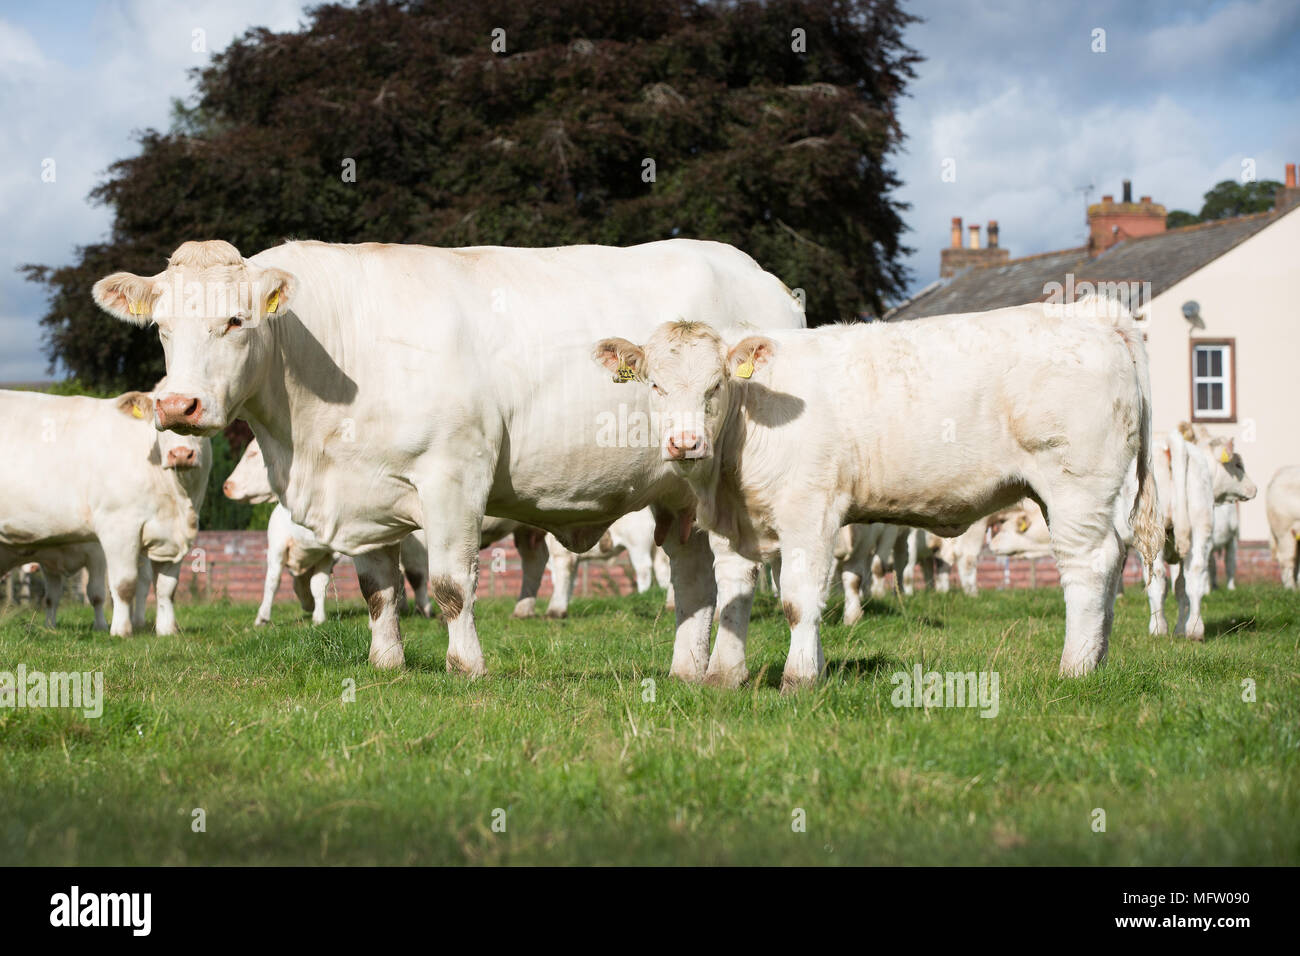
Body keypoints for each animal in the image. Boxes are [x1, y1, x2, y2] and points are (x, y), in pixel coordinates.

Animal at [0, 389, 211, 635]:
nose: (181, 454)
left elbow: (159, 588)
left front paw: (162, 631)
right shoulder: (109, 534)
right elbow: (111, 588)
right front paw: (115, 630)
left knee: (144, 583)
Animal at [94, 238, 805, 679]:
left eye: (237, 321)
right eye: (161, 328)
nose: (179, 405)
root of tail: (768, 281)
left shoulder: (454, 472)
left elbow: (448, 584)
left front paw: (466, 666)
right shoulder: (366, 496)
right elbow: (378, 589)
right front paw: (386, 664)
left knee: (741, 576)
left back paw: (727, 671)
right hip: (677, 492)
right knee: (694, 579)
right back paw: (686, 669)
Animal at [593, 298, 1163, 688]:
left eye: (715, 385)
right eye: (655, 386)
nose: (684, 442)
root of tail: (1096, 314)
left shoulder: (810, 512)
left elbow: (798, 600)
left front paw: (801, 678)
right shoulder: (735, 524)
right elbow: (733, 596)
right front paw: (722, 678)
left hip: (1076, 485)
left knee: (1087, 565)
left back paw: (1076, 668)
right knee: (1114, 560)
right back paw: (1098, 657)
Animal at [1143, 425, 1256, 638]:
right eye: (1238, 464)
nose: (1254, 488)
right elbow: (1180, 588)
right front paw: (1180, 628)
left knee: (1158, 577)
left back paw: (1158, 629)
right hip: (1199, 527)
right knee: (1195, 574)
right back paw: (1194, 629)